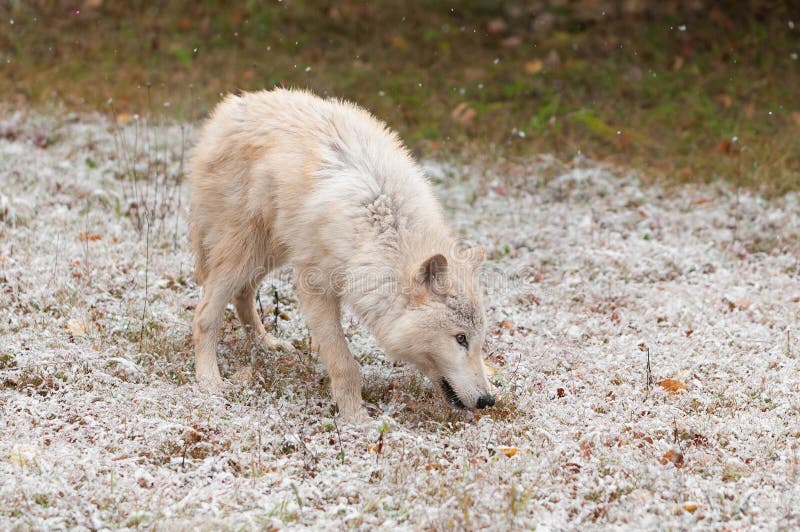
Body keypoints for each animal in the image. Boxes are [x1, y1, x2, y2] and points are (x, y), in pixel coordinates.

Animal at [188, 89, 495, 421]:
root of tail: (229, 107)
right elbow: (344, 362)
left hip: (270, 253)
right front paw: (355, 419)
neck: (382, 227)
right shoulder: (315, 287)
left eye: (478, 340)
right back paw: (209, 380)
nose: (488, 400)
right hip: (244, 252)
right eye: (460, 338)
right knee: (205, 315)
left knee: (243, 295)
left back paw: (267, 344)